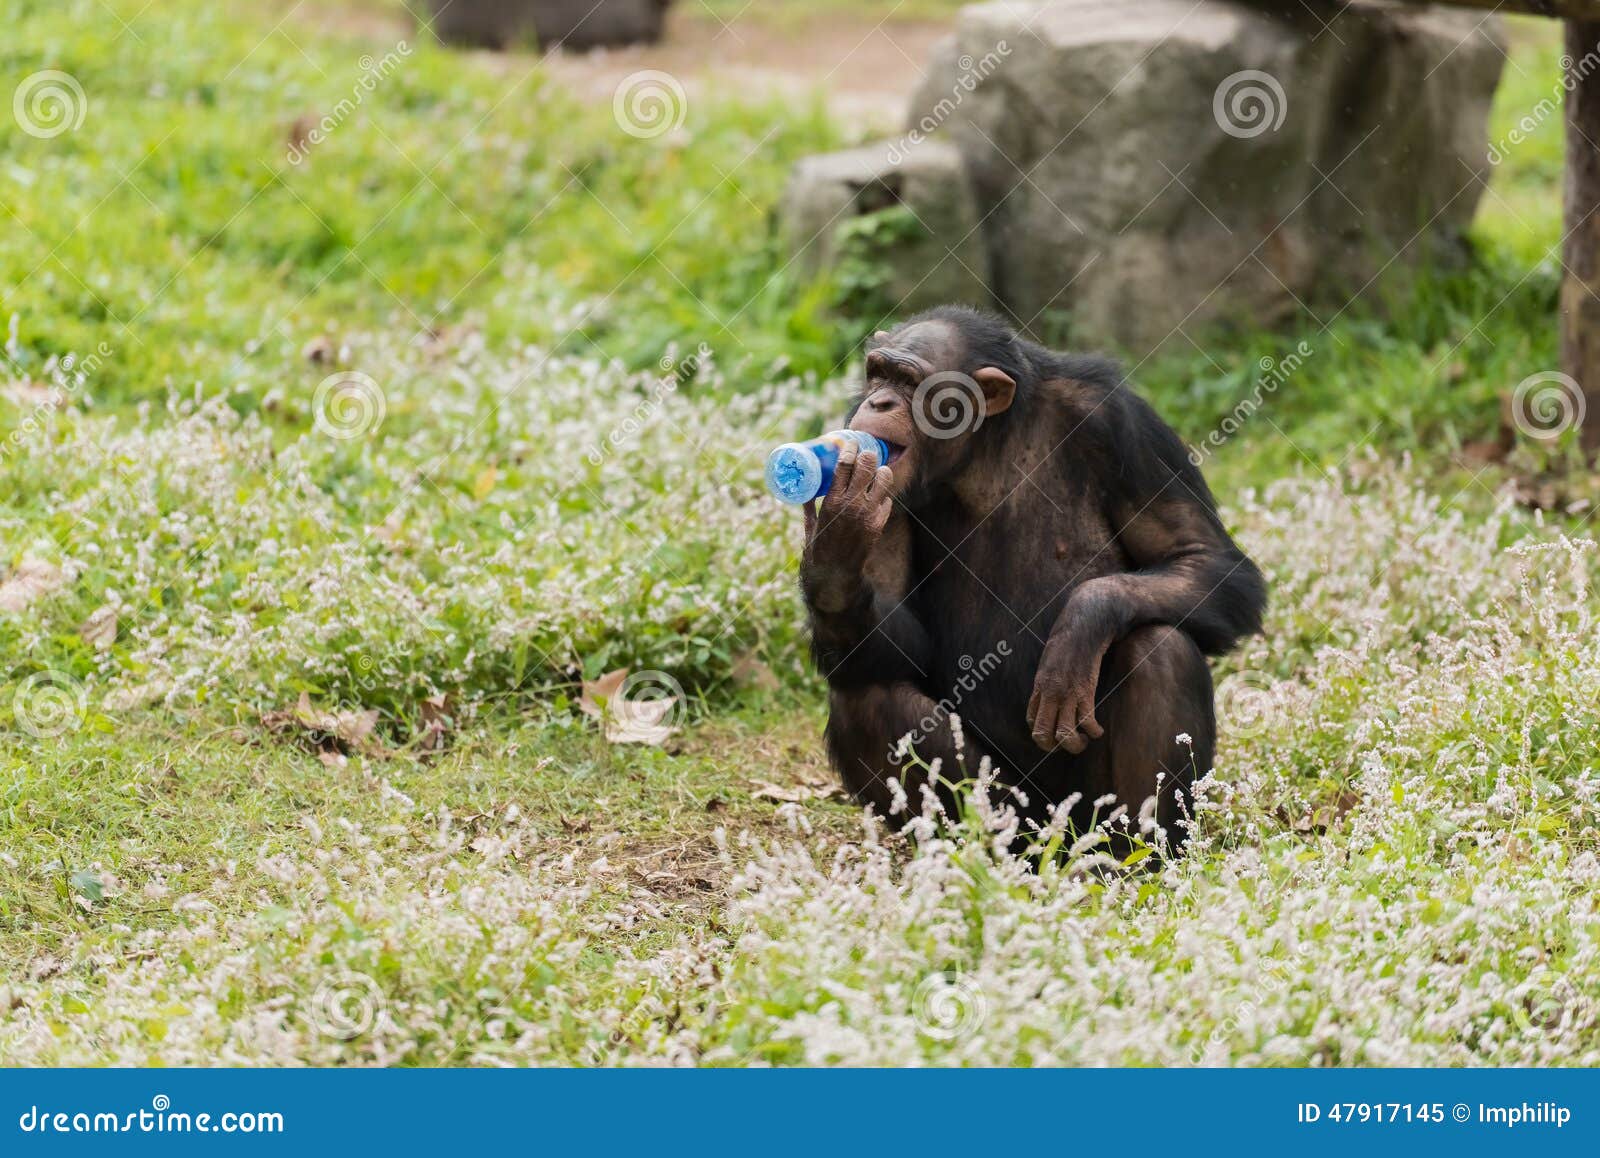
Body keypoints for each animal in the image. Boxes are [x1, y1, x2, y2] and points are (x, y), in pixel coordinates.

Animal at [798, 306, 1266, 853]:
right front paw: (834, 553)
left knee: (1159, 648)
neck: (985, 447)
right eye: (878, 373)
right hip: (1020, 806)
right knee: (865, 695)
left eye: (910, 381)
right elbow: (898, 636)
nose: (880, 400)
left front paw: (1080, 630)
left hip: (1092, 806)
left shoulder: (1125, 426)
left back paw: (1142, 854)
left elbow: (1204, 558)